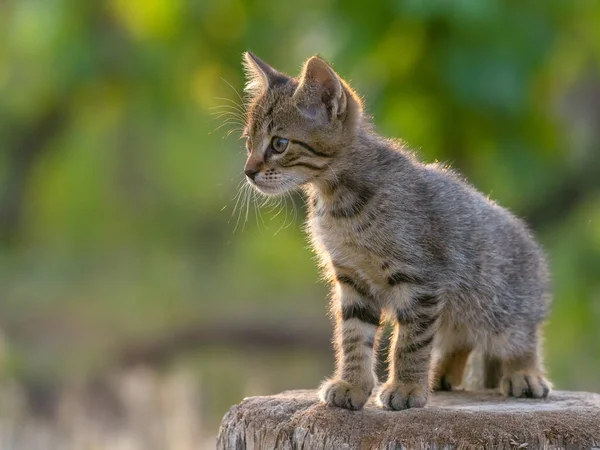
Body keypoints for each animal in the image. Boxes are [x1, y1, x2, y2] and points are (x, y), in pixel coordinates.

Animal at [239, 51, 552, 410]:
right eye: (249, 142)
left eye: (279, 144)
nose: (248, 171)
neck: (338, 203)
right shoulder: (352, 280)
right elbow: (353, 336)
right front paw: (353, 384)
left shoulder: (420, 279)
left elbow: (410, 341)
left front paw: (406, 388)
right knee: (460, 338)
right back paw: (441, 374)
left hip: (500, 304)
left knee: (518, 338)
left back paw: (524, 373)